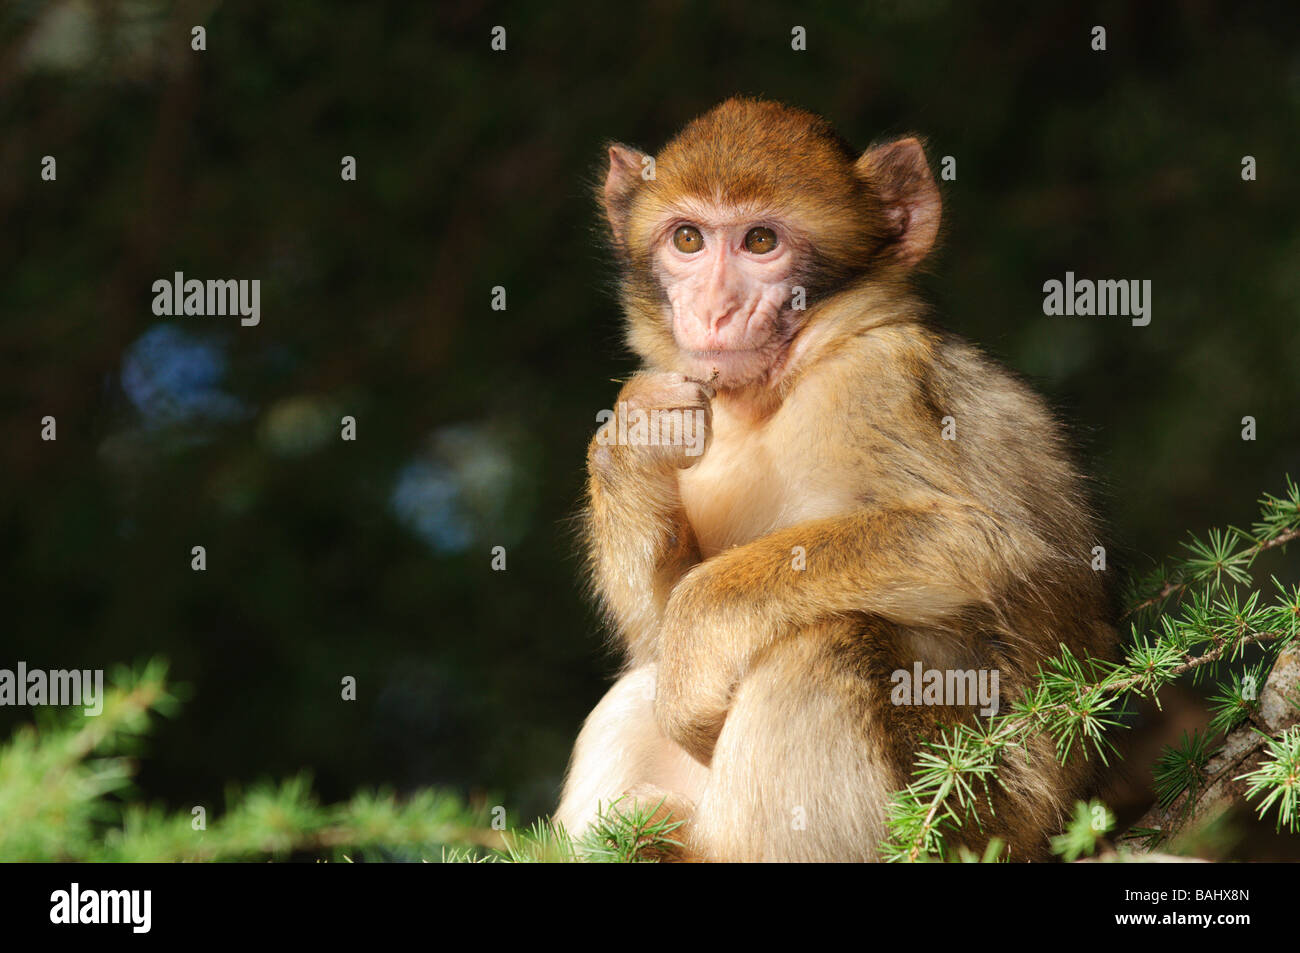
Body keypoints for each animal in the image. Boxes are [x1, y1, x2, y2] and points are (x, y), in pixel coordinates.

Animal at [555, 98, 1116, 862]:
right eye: (688, 239)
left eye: (761, 241)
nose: (713, 310)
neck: (776, 392)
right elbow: (651, 638)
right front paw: (632, 439)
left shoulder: (874, 379)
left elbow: (978, 541)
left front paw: (697, 632)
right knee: (639, 689)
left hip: (967, 810)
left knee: (823, 641)